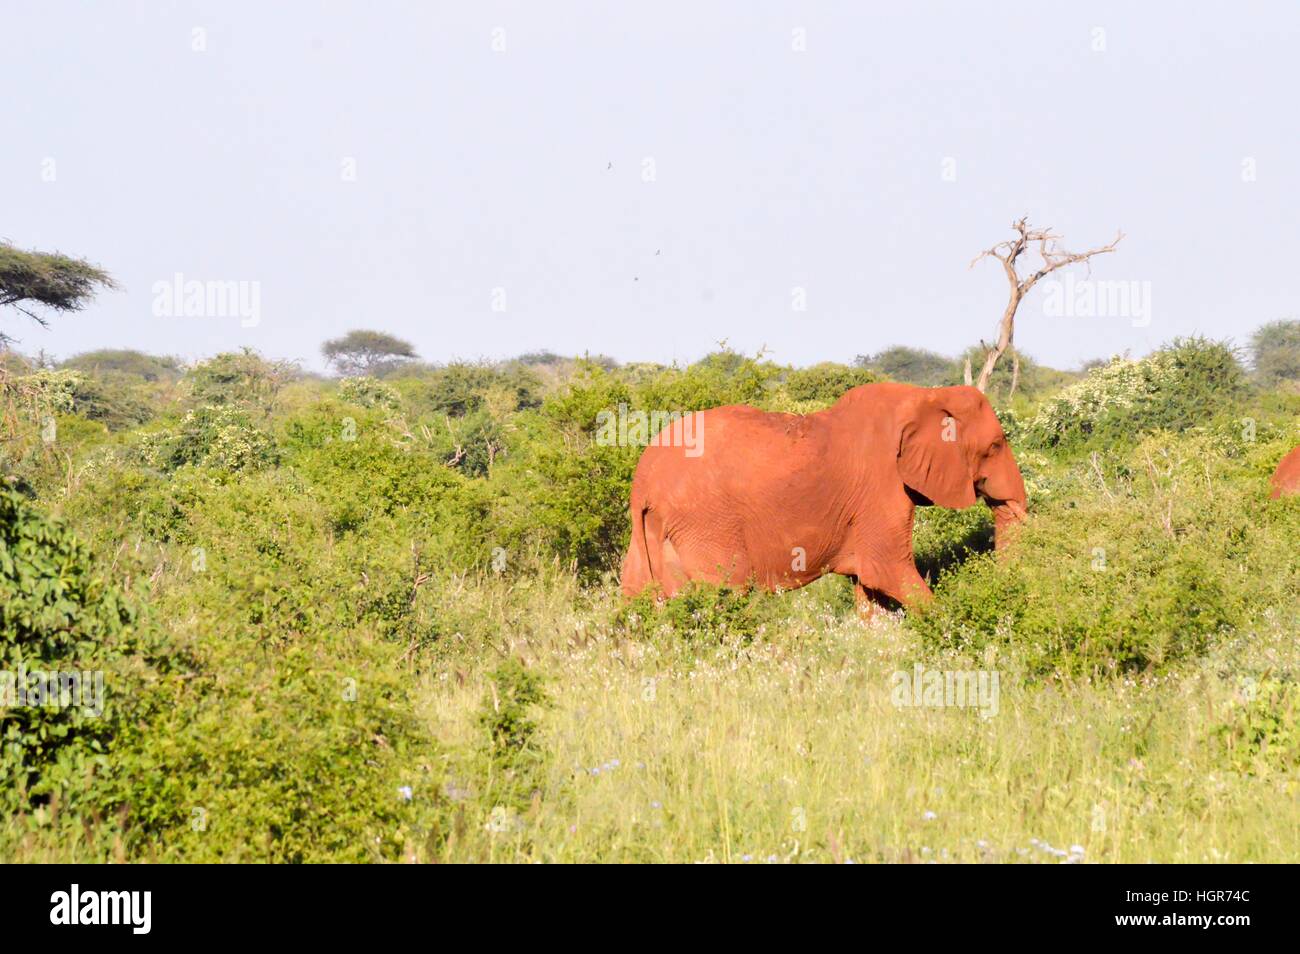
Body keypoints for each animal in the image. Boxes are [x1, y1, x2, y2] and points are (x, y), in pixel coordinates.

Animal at [620, 382, 1027, 614]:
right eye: (995, 446)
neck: (925, 396)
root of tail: (643, 482)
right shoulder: (881, 487)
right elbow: (887, 571)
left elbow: (870, 589)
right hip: (706, 523)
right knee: (726, 592)